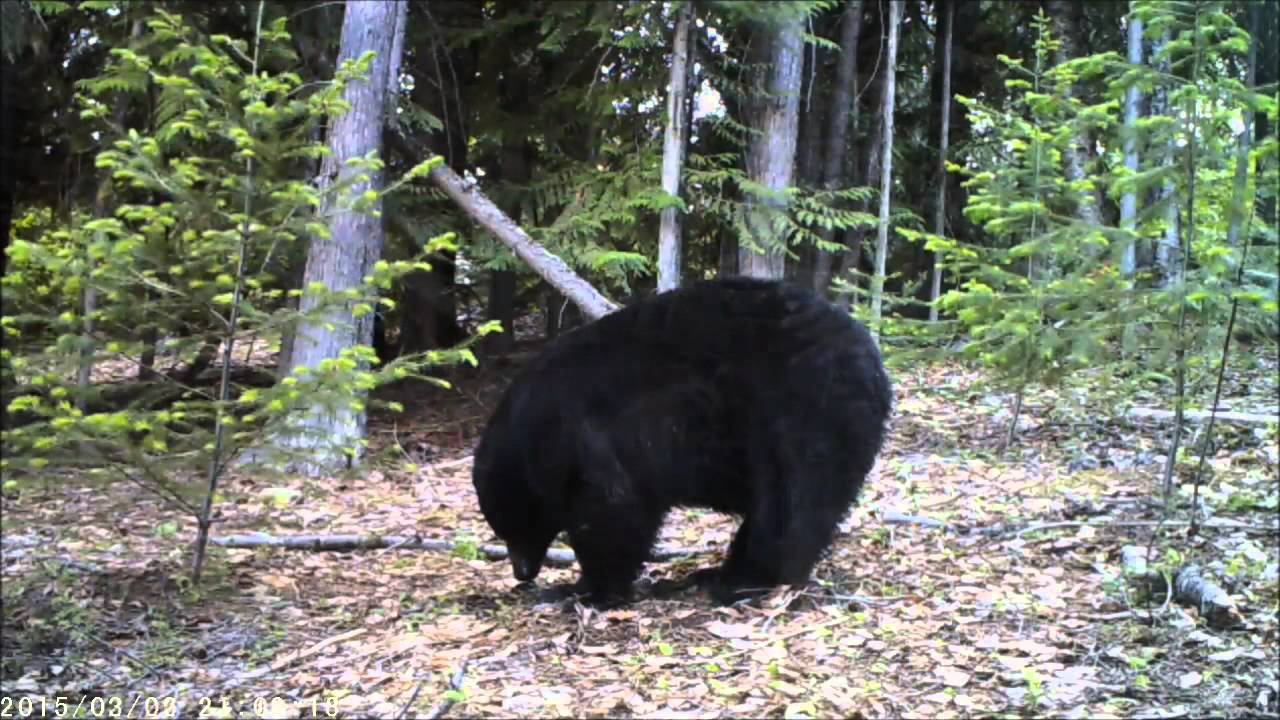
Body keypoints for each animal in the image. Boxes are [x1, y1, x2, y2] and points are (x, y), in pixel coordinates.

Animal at [471, 276, 893, 607]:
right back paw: (719, 572)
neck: (533, 429)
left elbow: (612, 508)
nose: (522, 572)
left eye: (514, 523)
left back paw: (745, 580)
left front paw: (585, 589)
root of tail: (874, 363)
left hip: (803, 411)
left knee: (792, 502)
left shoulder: (587, 436)